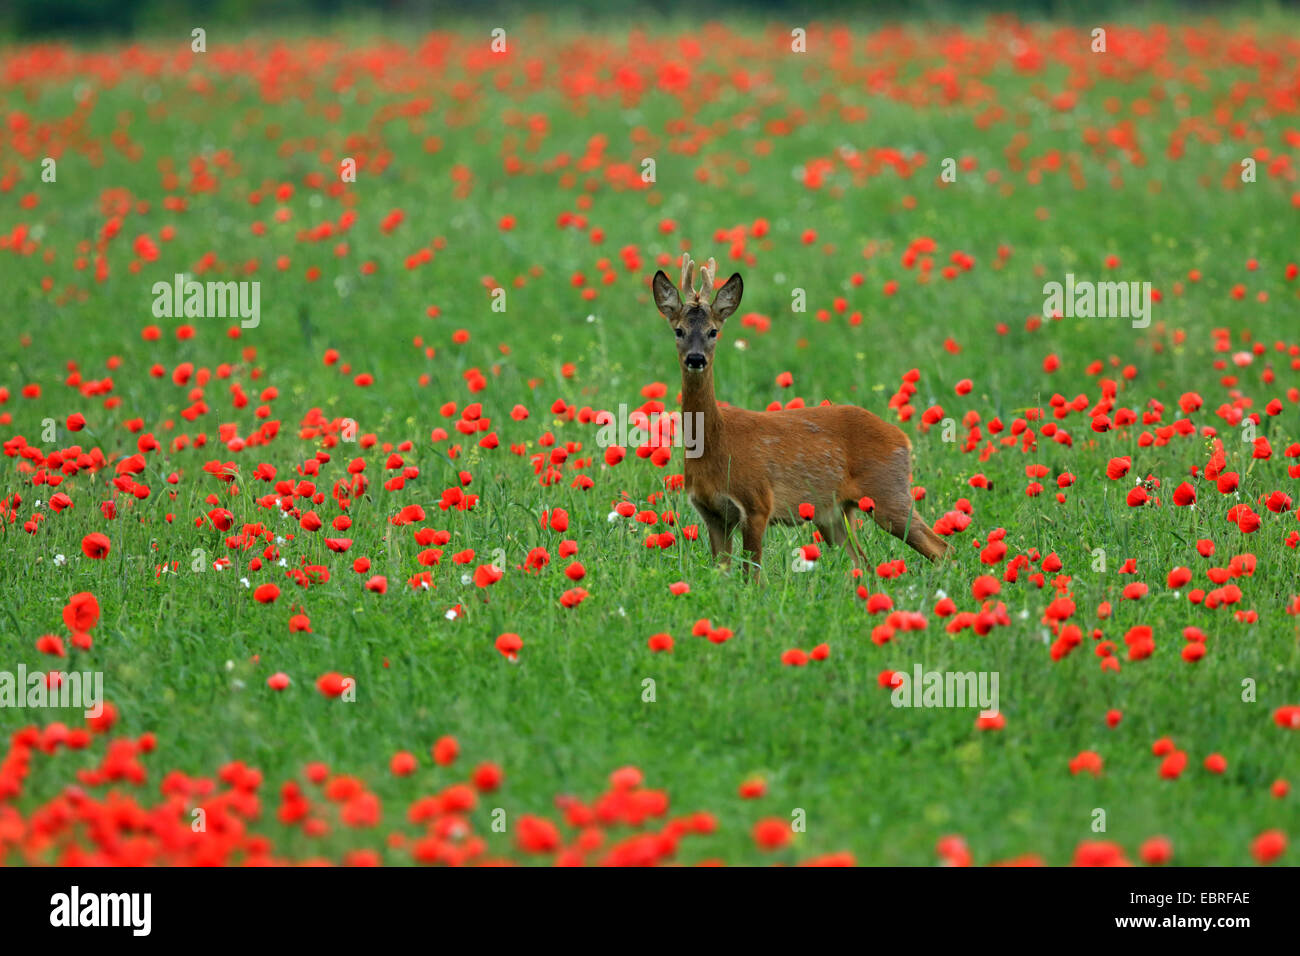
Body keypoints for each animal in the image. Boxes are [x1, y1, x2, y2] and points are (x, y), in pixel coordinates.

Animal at [652, 253, 948, 581]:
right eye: (678, 330)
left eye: (713, 331)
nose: (696, 358)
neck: (715, 443)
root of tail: (903, 438)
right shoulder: (712, 513)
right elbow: (723, 574)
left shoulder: (757, 502)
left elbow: (752, 575)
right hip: (834, 513)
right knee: (865, 564)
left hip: (889, 492)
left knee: (940, 548)